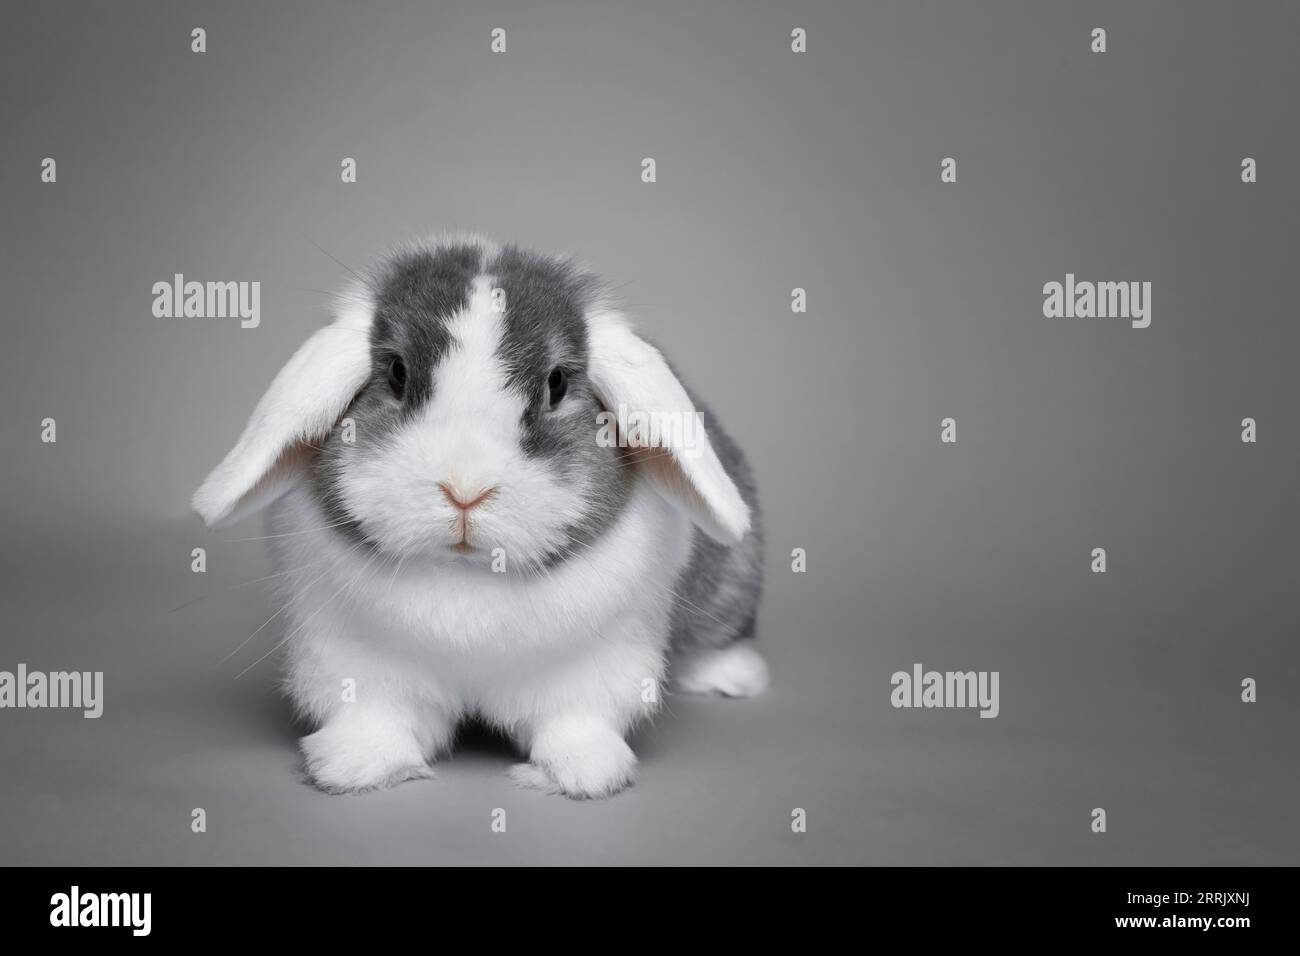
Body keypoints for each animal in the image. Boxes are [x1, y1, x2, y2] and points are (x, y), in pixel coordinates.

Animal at [192, 235, 767, 798]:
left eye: (556, 384)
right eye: (397, 373)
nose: (465, 491)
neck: (466, 579)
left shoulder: (594, 666)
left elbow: (575, 722)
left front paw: (580, 774)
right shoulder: (353, 659)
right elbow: (376, 718)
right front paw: (358, 766)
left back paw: (731, 677)